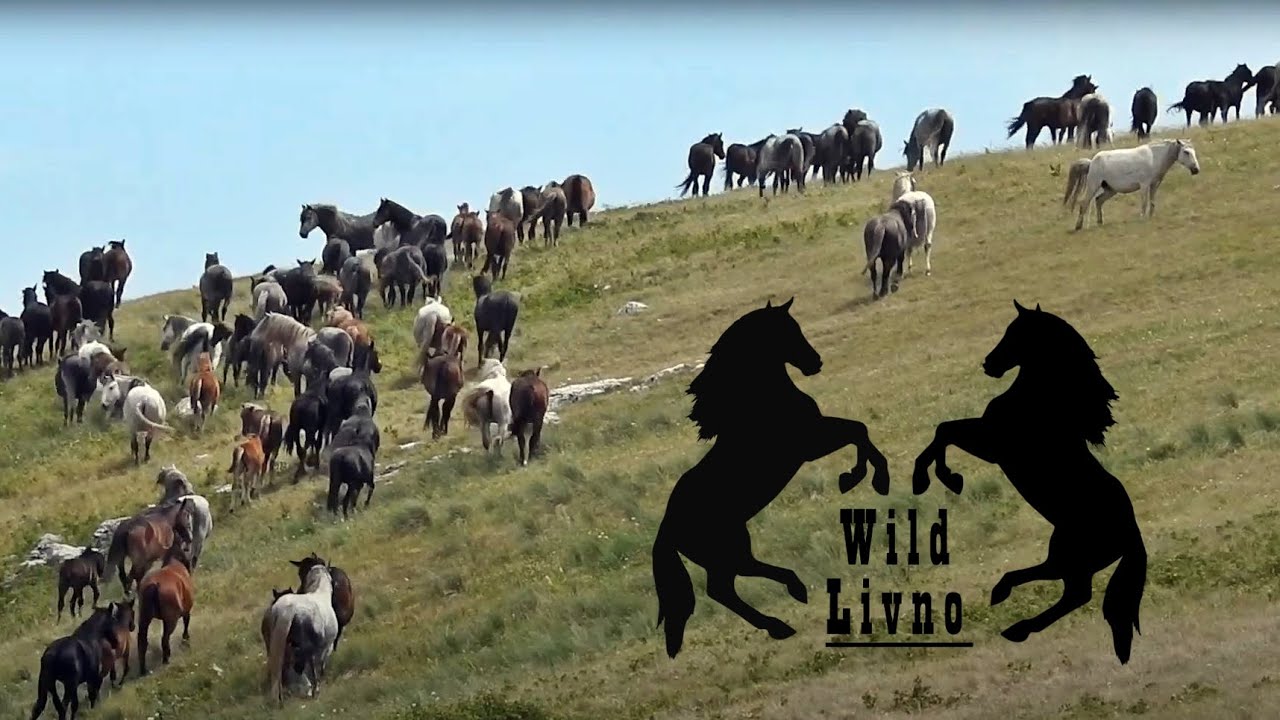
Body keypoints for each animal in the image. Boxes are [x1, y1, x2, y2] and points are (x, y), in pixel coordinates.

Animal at [136, 542, 196, 676]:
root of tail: (154, 585)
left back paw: (143, 670)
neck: (175, 562)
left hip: (144, 618)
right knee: (164, 638)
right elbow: (186, 622)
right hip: (171, 619)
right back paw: (166, 659)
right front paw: (186, 640)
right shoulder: (186, 610)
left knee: (142, 641)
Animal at [263, 563, 338, 702]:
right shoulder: (324, 647)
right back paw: (309, 689)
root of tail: (286, 610)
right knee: (298, 667)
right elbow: (319, 664)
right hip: (302, 648)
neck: (321, 594)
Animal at [651, 298, 890, 658]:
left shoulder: (815, 439)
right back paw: (786, 610)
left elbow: (858, 431)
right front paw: (867, 478)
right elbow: (858, 432)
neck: (760, 402)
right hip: (728, 546)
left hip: (728, 548)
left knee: (729, 584)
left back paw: (790, 602)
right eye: (788, 331)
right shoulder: (811, 443)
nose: (815, 363)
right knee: (725, 587)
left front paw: (857, 477)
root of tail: (667, 527)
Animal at [912, 301, 1147, 664]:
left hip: (1070, 552)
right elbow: (945, 430)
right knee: (1068, 589)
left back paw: (1013, 618)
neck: (1042, 403)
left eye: (1016, 334)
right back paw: (1006, 600)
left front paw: (934, 478)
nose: (989, 364)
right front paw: (942, 477)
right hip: (1068, 554)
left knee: (1074, 593)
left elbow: (944, 431)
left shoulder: (992, 445)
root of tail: (1132, 533)